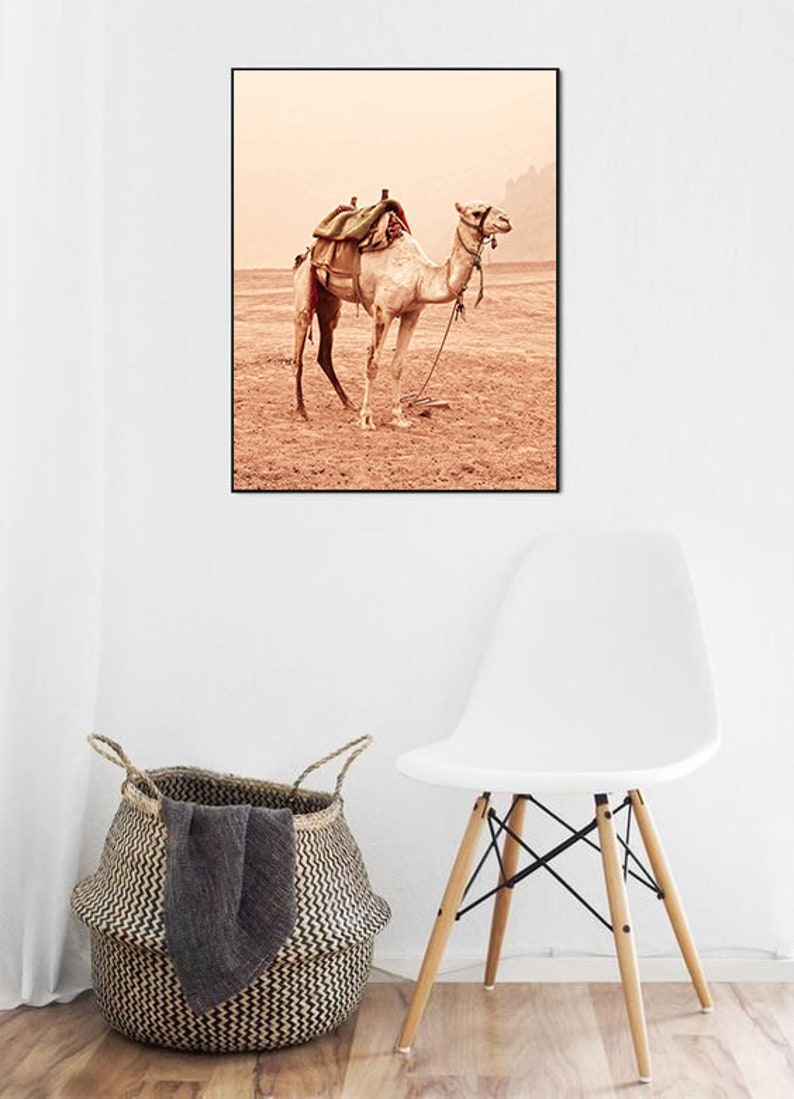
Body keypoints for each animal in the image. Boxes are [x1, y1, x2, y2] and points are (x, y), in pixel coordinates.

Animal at [292, 200, 512, 429]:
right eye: (476, 212)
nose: (506, 220)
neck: (420, 277)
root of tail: (309, 251)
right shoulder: (383, 311)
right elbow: (372, 364)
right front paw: (366, 419)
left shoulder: (412, 315)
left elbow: (398, 366)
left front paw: (398, 417)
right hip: (305, 282)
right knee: (299, 348)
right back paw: (301, 411)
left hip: (330, 302)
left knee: (325, 351)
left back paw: (349, 403)